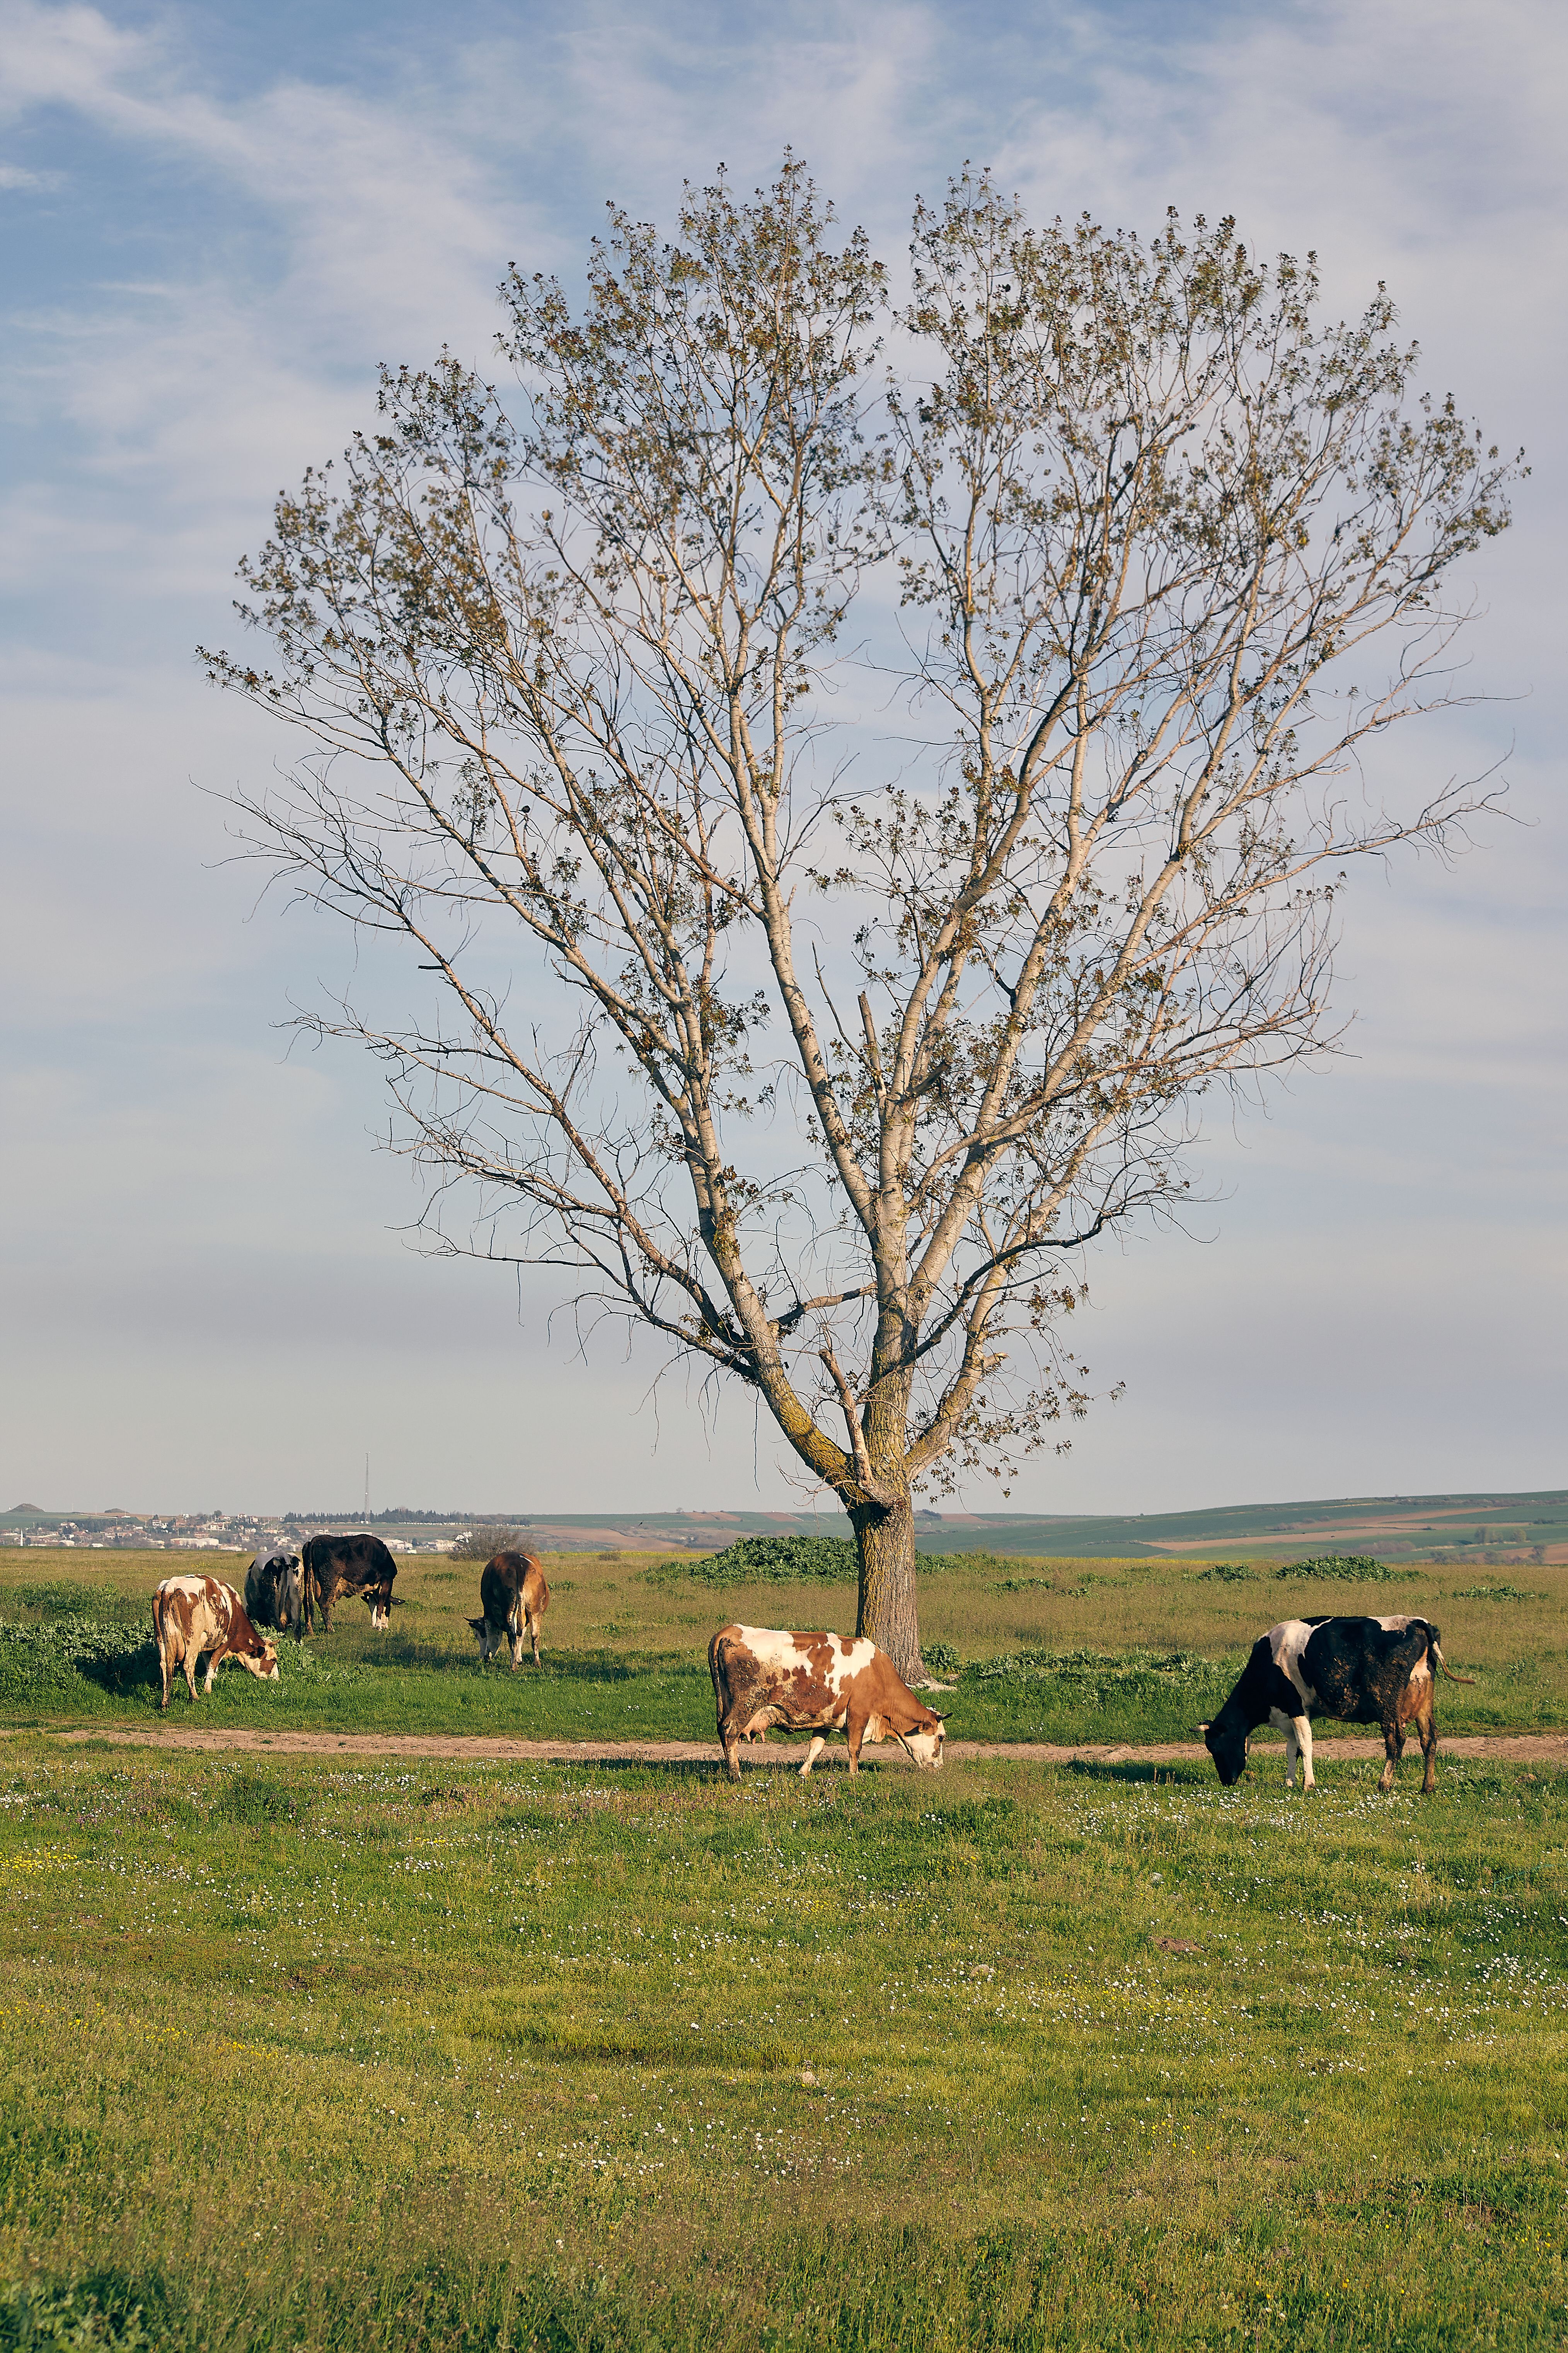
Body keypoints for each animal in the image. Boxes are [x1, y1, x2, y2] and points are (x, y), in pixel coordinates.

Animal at [153, 1576, 280, 1711]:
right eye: (274, 1660)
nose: (277, 1679)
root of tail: (170, 1587)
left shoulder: (207, 1644)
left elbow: (209, 1663)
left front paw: (213, 1678)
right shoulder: (225, 1642)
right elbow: (214, 1662)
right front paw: (207, 1689)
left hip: (161, 1638)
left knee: (164, 1665)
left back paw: (165, 1702)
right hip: (192, 1640)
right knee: (188, 1666)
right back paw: (194, 1697)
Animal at [298, 1533, 398, 1635]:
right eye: (389, 1609)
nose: (386, 1627)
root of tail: (314, 1541)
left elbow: (374, 1606)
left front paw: (375, 1625)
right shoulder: (387, 1580)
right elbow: (381, 1606)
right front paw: (379, 1627)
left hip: (310, 1579)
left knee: (307, 1601)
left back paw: (309, 1631)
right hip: (330, 1581)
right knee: (324, 1602)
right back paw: (331, 1629)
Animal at [468, 1551, 550, 1670]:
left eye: (478, 1635)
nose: (482, 1657)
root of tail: (519, 1564)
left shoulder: (489, 1615)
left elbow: (492, 1634)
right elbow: (522, 1635)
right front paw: (519, 1659)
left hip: (509, 1610)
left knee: (512, 1636)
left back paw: (513, 1666)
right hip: (535, 1610)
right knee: (534, 1636)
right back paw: (536, 1663)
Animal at [709, 1624, 946, 1783]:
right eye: (941, 1737)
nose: (940, 1768)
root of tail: (731, 1630)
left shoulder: (826, 1717)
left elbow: (817, 1746)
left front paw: (803, 1772)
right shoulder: (859, 1713)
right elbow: (854, 1748)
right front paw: (854, 1775)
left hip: (726, 1705)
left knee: (723, 1731)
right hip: (745, 1704)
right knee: (730, 1732)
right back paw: (736, 1776)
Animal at [1198, 1614, 1473, 1794]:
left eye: (1216, 1747)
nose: (1227, 1781)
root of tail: (1417, 1622)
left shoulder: (1296, 1707)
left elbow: (1305, 1746)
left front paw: (1308, 1785)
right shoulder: (1293, 1713)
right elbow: (1292, 1749)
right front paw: (1289, 1782)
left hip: (1386, 1702)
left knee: (1396, 1741)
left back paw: (1384, 1783)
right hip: (1424, 1699)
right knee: (1429, 1740)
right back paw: (1428, 1787)